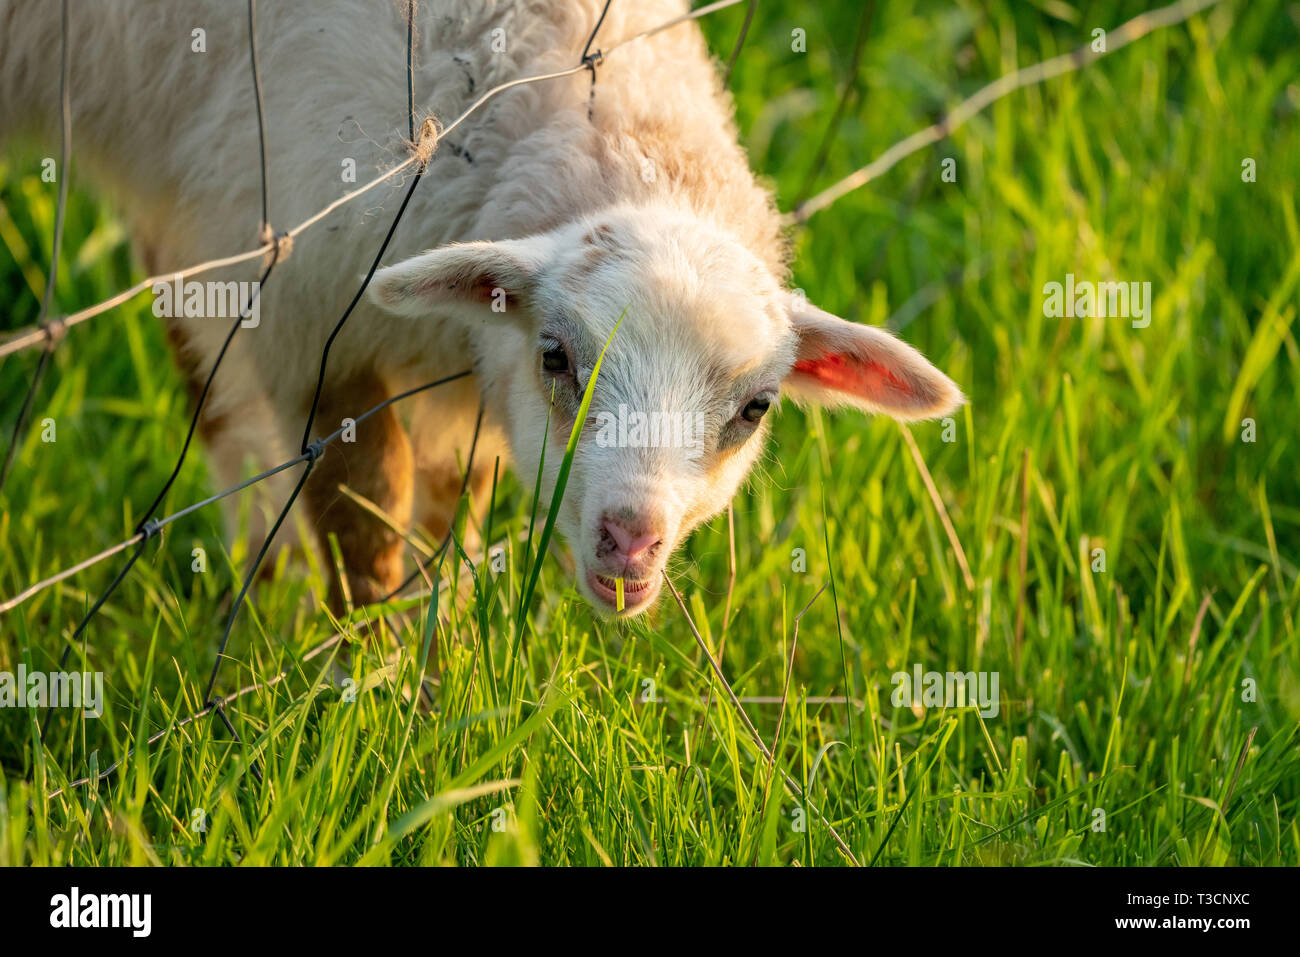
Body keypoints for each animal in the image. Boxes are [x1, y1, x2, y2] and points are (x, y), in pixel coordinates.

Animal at [1, 0, 963, 617]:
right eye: (557, 357)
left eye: (756, 408)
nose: (631, 541)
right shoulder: (310, 317)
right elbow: (364, 518)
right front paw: (366, 679)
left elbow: (451, 507)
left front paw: (436, 633)